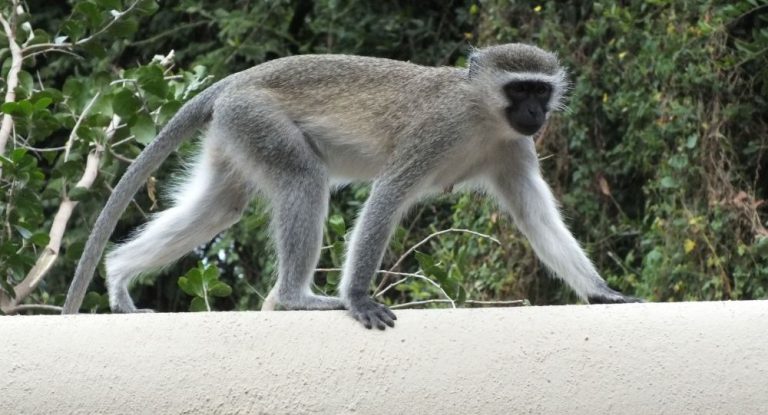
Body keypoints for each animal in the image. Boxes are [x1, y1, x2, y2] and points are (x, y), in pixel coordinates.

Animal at [62, 43, 640, 328]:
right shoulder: (437, 130)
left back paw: (118, 274)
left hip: (235, 129)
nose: (535, 114)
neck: (483, 115)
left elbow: (538, 219)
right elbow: (389, 195)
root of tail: (238, 81)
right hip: (258, 119)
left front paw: (602, 292)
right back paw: (296, 299)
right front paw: (359, 297)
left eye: (540, 91)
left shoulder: (514, 149)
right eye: (519, 89)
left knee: (220, 207)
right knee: (302, 179)